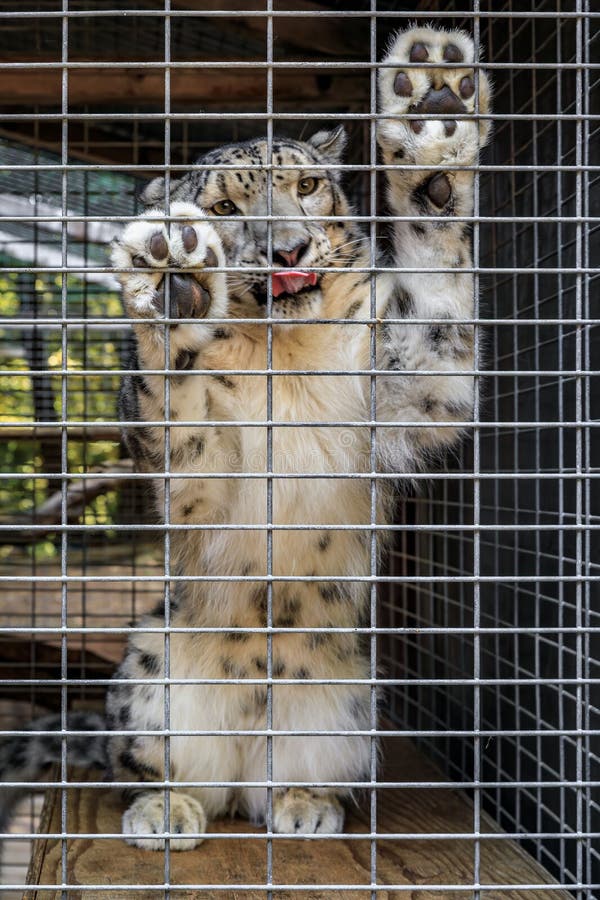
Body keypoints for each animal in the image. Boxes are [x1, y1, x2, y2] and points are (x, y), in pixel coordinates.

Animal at [0, 26, 491, 850]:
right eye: (226, 206)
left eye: (308, 186)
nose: (288, 250)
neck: (282, 351)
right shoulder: (203, 474)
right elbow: (178, 416)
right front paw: (170, 272)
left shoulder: (415, 386)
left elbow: (437, 297)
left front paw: (432, 121)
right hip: (149, 664)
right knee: (152, 764)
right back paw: (166, 812)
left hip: (352, 697)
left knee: (284, 781)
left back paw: (304, 805)